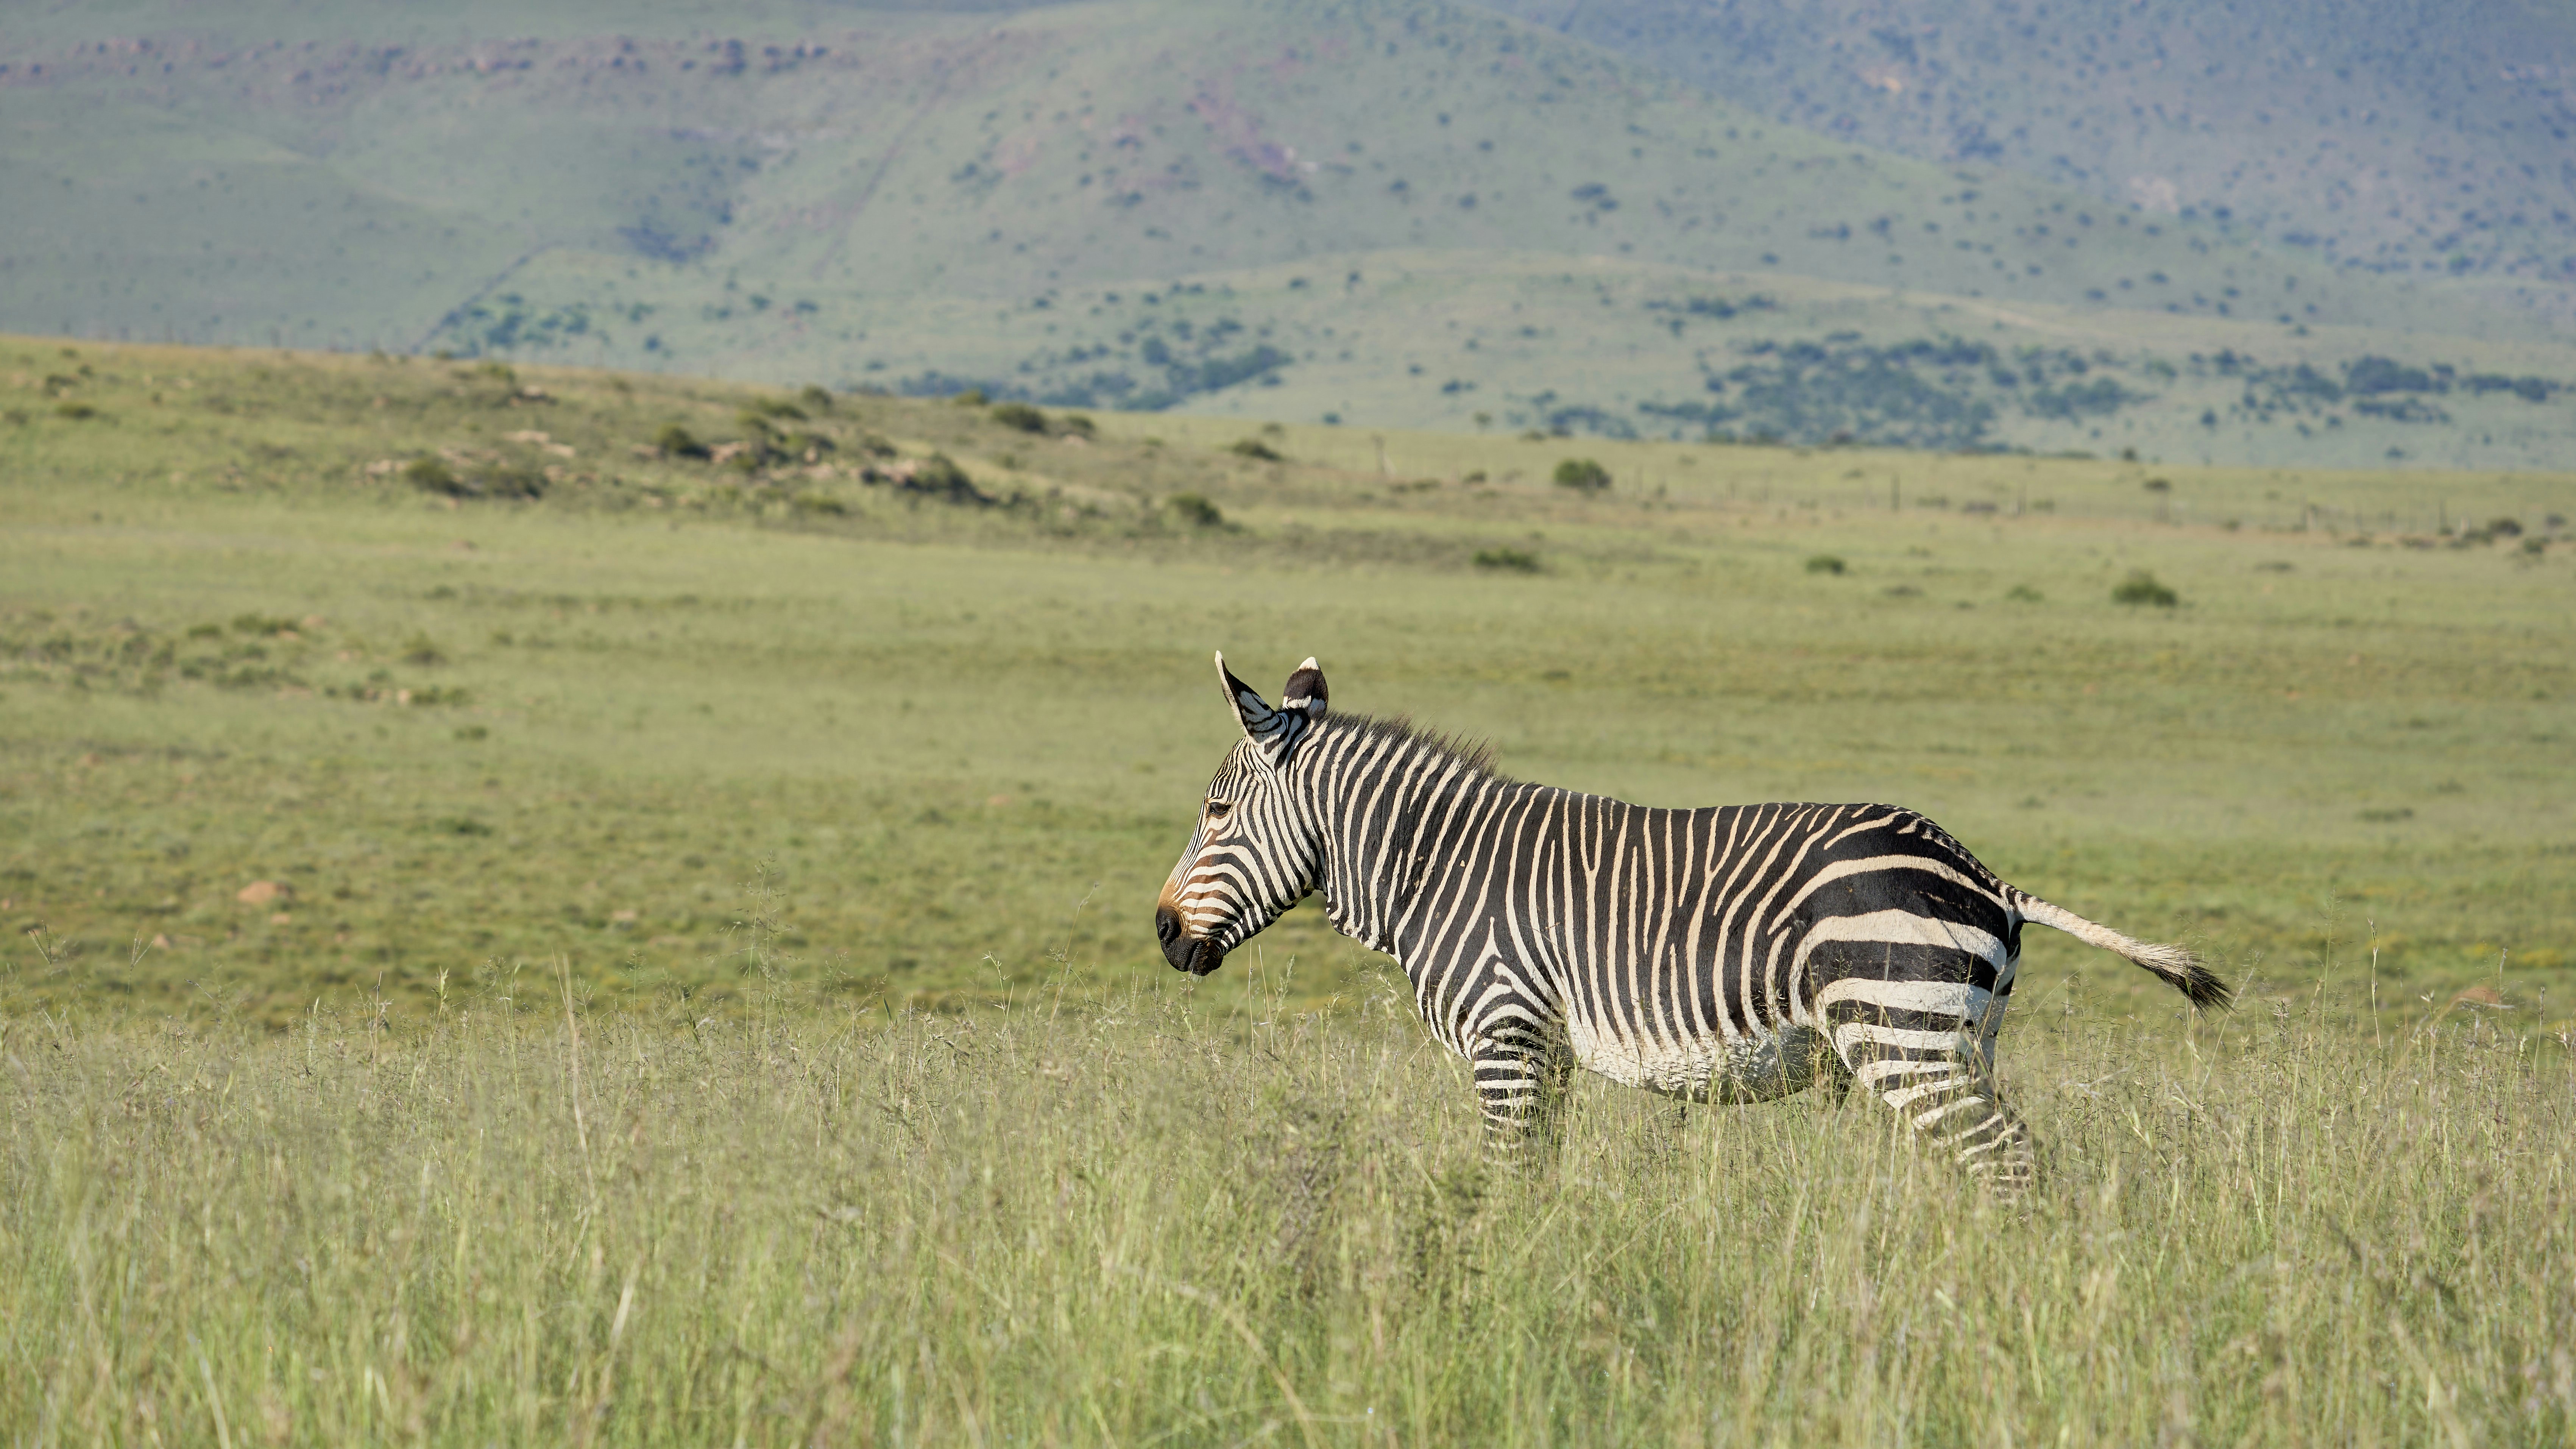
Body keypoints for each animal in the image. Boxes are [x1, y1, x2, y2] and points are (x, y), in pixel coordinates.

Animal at [1154, 654, 2230, 1199]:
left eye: (1216, 810)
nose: (1163, 932)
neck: (1436, 869)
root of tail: (1985, 873)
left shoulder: (1505, 1040)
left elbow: (1501, 1181)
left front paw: (1489, 1286)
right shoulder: (1543, 1057)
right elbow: (1536, 1180)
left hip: (1902, 1033)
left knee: (2006, 1158)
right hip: (1965, 1038)